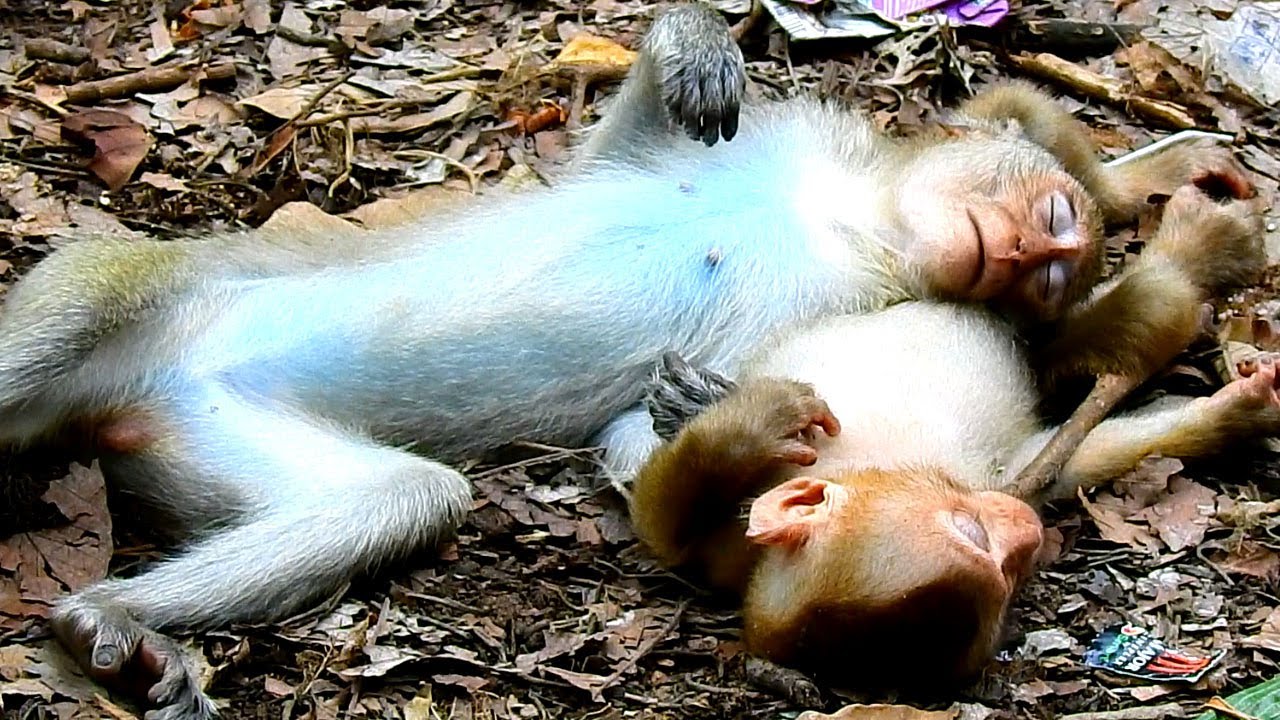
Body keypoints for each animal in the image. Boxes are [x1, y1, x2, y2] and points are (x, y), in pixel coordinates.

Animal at [627, 183, 1269, 690]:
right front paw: (749, 425)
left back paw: (1196, 241)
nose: (1027, 532)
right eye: (1002, 571)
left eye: (970, 527)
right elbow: (662, 527)